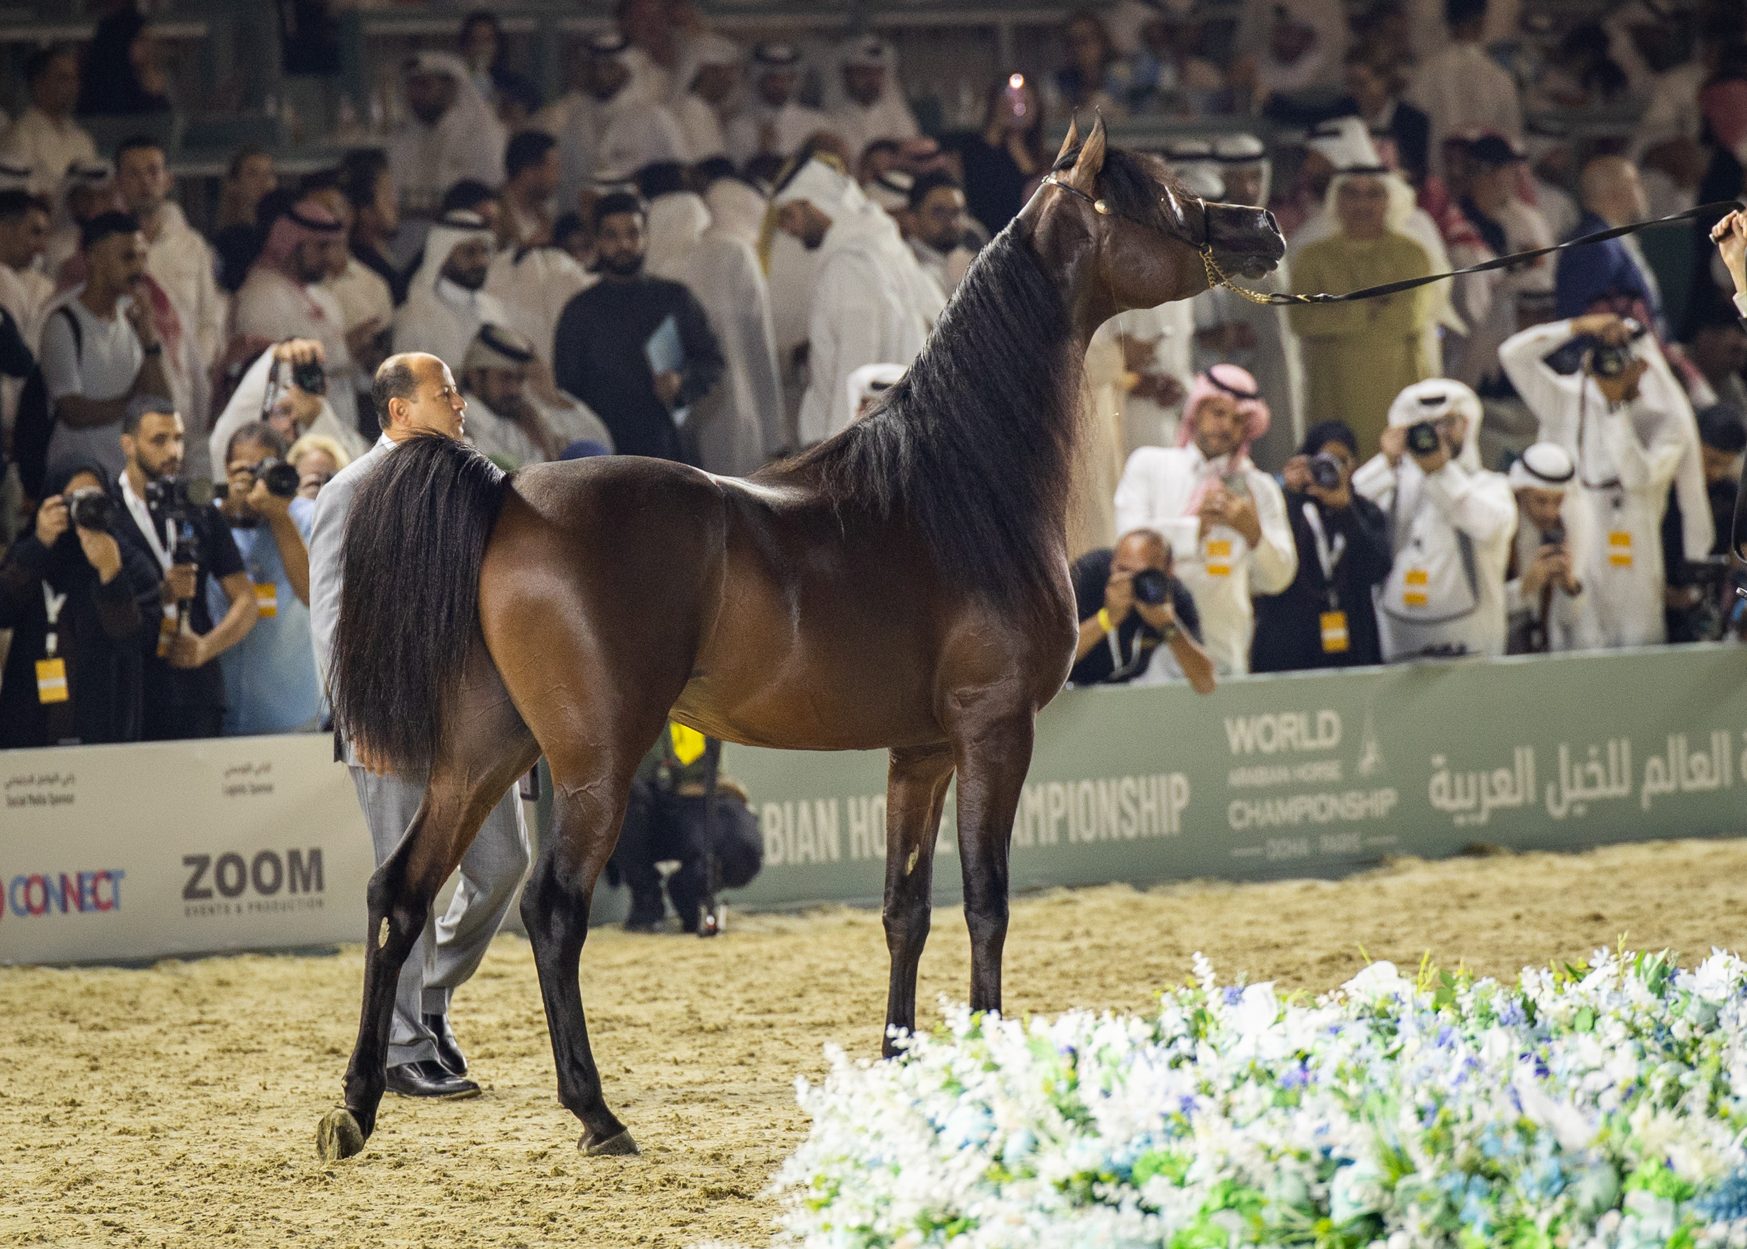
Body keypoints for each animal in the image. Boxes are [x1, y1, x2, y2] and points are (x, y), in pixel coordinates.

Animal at [315, 115, 1285, 1162]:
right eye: (1162, 200)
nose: (1262, 225)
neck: (958, 486)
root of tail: (508, 495)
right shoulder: (994, 731)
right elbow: (986, 900)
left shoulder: (921, 751)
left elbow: (906, 908)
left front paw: (904, 1059)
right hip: (593, 761)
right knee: (551, 908)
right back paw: (596, 1114)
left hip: (482, 750)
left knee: (401, 893)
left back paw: (357, 1106)